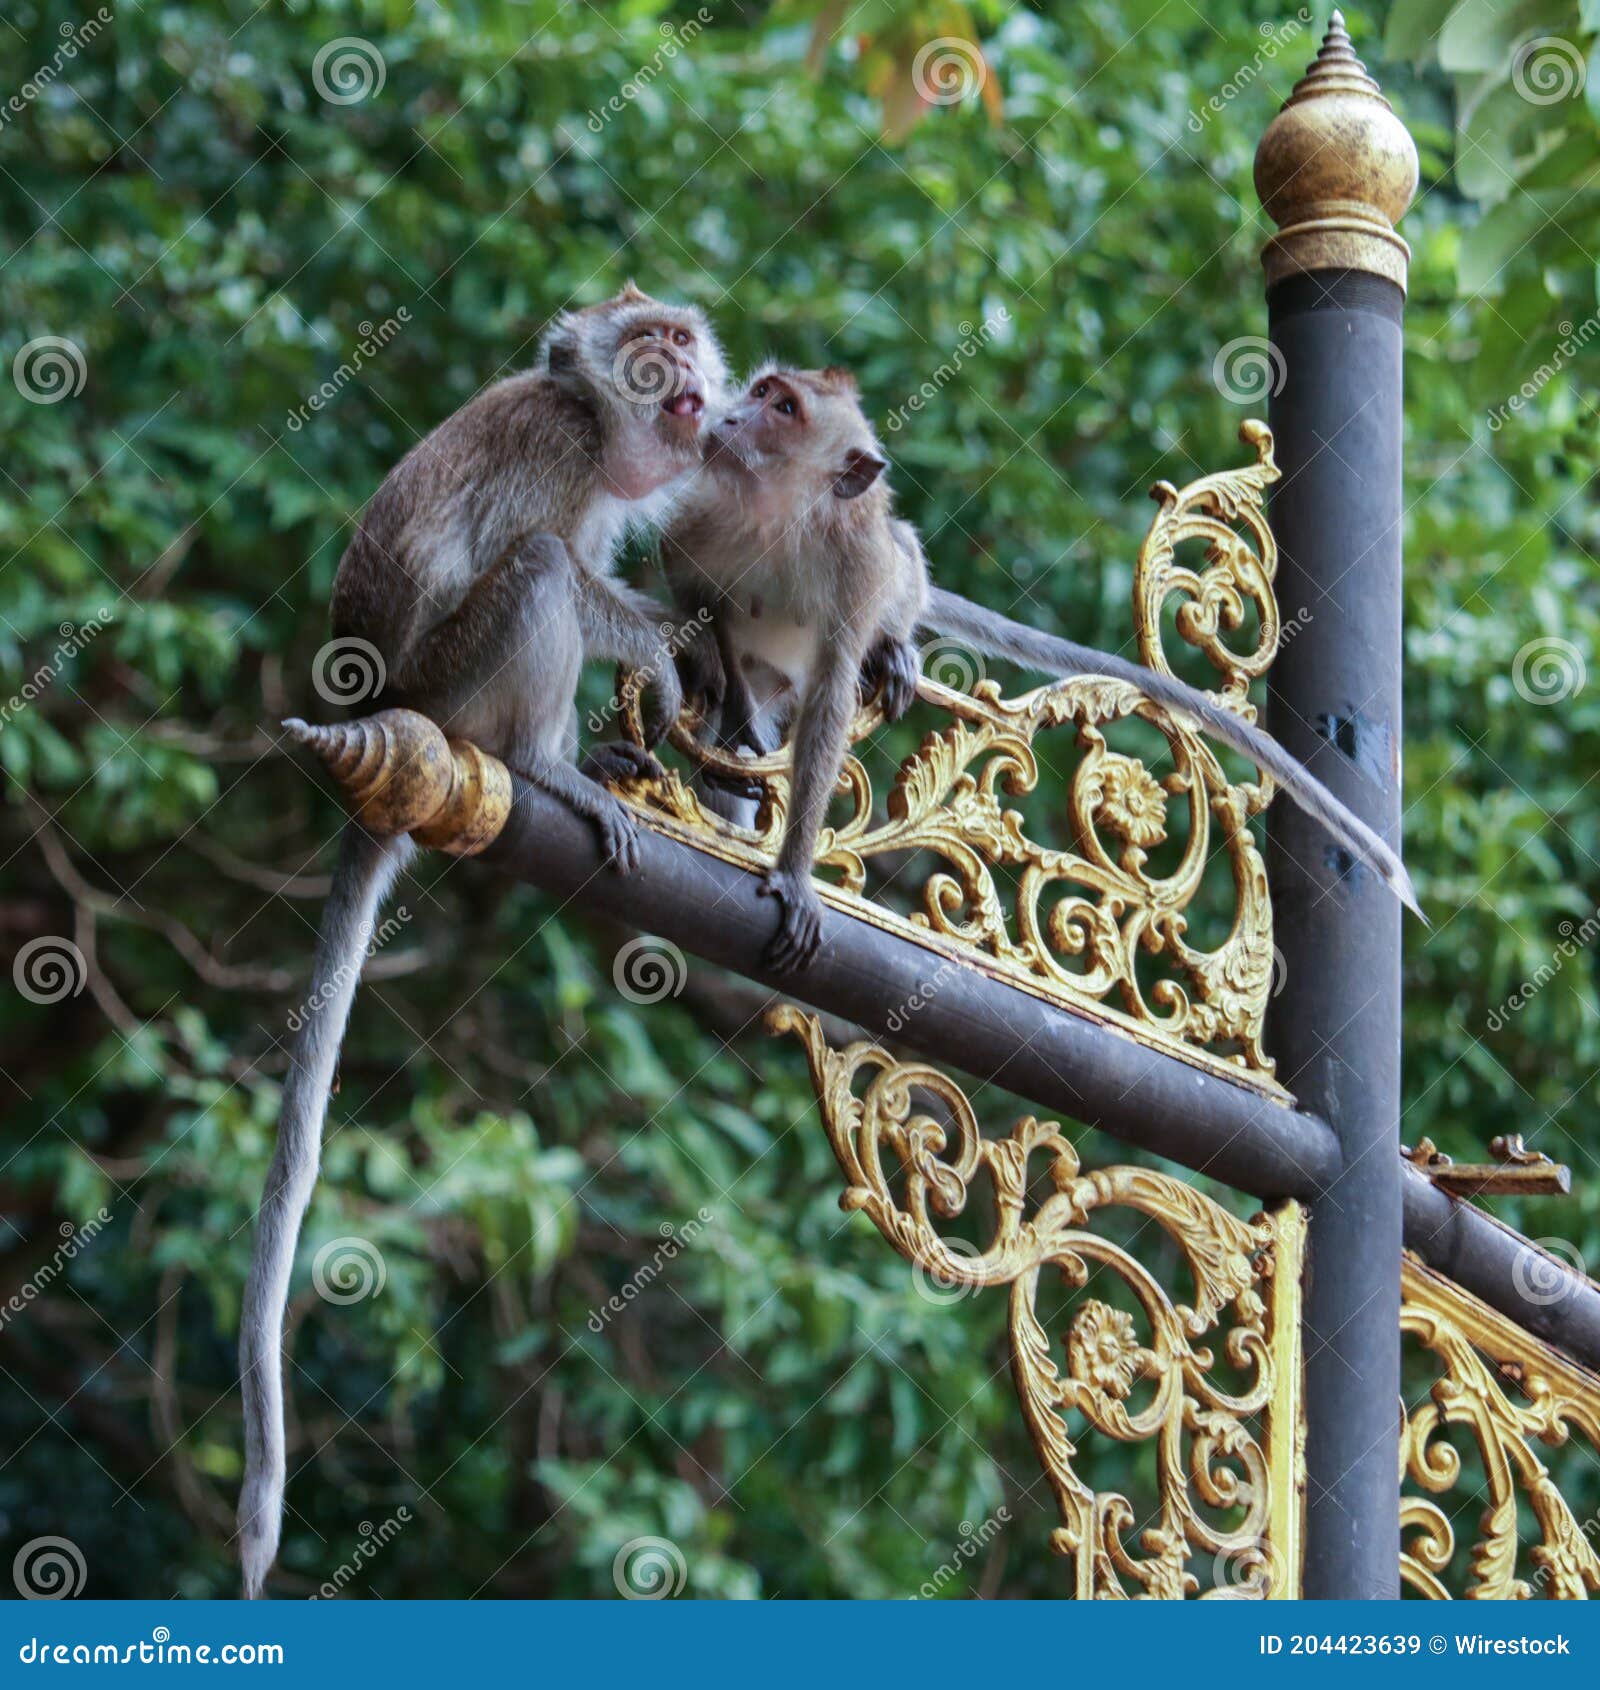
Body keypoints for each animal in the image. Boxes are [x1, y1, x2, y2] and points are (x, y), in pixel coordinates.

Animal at [238, 284, 727, 1599]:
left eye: (682, 338)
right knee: (541, 572)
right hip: (451, 686)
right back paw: (548, 768)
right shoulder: (557, 456)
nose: (686, 376)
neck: (598, 430)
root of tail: (382, 715)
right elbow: (568, 562)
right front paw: (662, 652)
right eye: (645, 349)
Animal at [655, 364, 1420, 972]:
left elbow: (833, 694)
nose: (729, 415)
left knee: (900, 564)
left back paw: (890, 651)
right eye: (761, 392)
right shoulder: (705, 507)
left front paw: (794, 871)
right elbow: (692, 595)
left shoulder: (858, 559)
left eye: (783, 408)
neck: (781, 513)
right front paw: (728, 694)